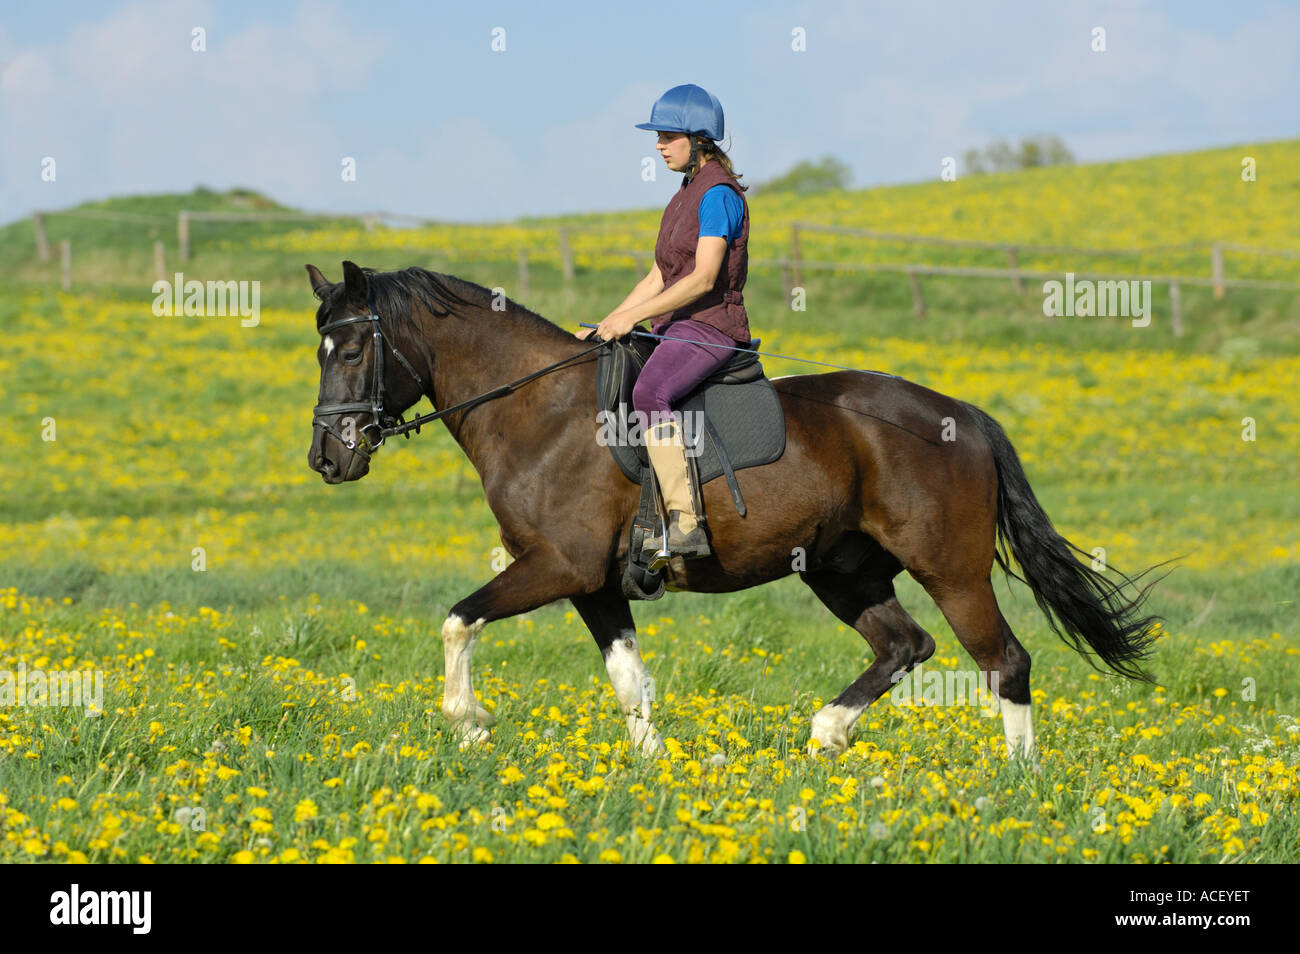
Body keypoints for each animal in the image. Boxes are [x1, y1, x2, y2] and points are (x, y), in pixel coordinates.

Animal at [306, 260, 1161, 760]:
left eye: (351, 350)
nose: (327, 460)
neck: (538, 409)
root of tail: (964, 415)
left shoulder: (558, 566)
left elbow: (458, 619)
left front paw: (468, 720)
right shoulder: (595, 585)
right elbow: (630, 684)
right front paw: (652, 773)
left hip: (951, 570)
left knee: (1002, 662)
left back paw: (1016, 784)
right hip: (842, 570)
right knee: (904, 646)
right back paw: (826, 736)